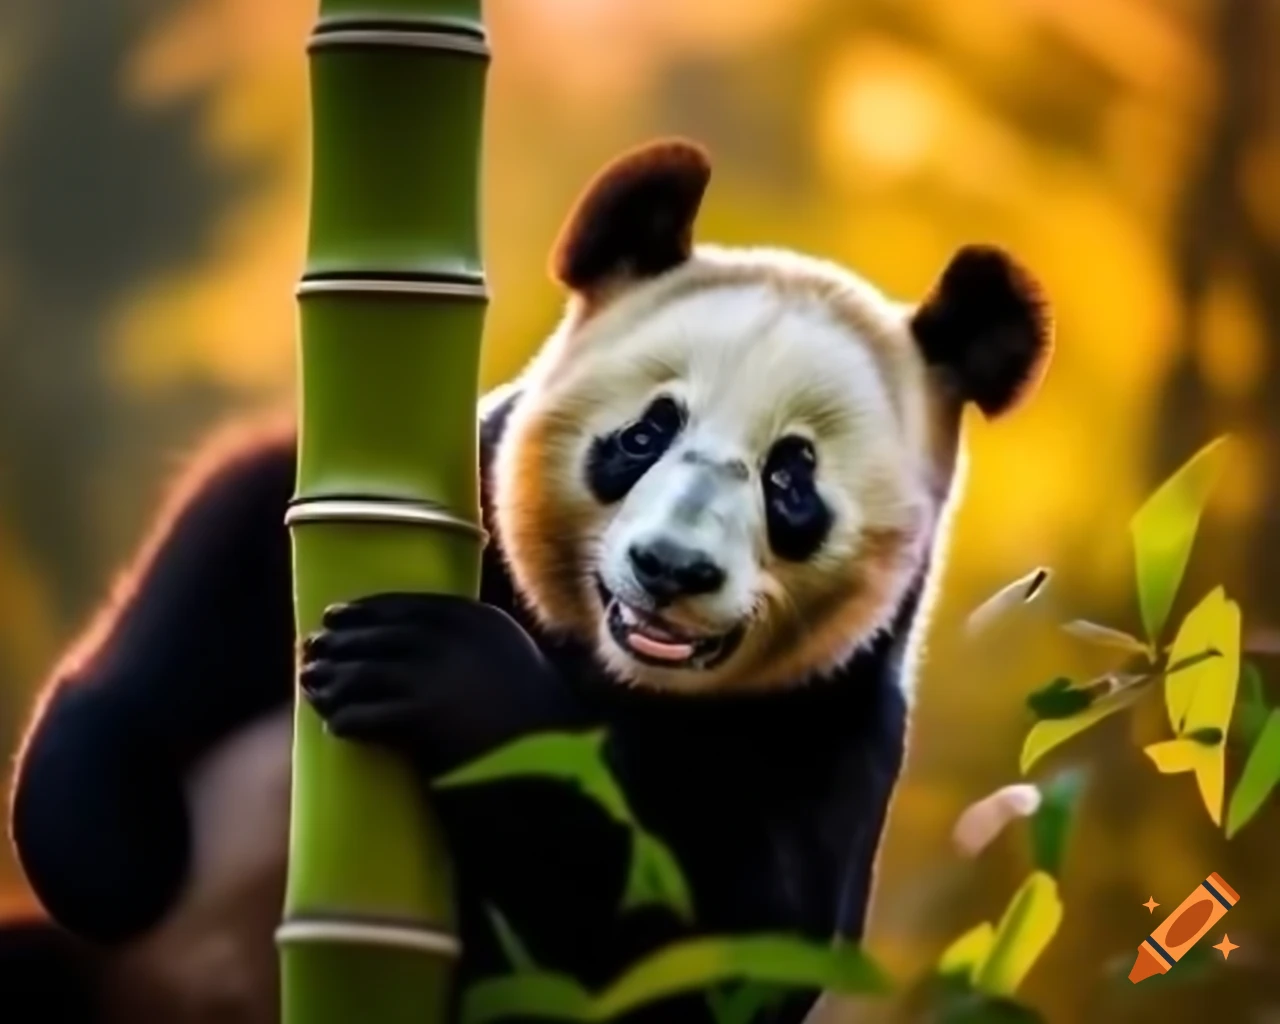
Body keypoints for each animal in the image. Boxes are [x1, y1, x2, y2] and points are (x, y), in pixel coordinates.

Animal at [5, 138, 1052, 1023]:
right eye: (645, 433)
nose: (669, 569)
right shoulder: (374, 500)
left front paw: (444, 673)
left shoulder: (830, 724)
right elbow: (162, 648)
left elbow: (715, 957)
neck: (610, 671)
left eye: (791, 480)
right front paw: (115, 852)